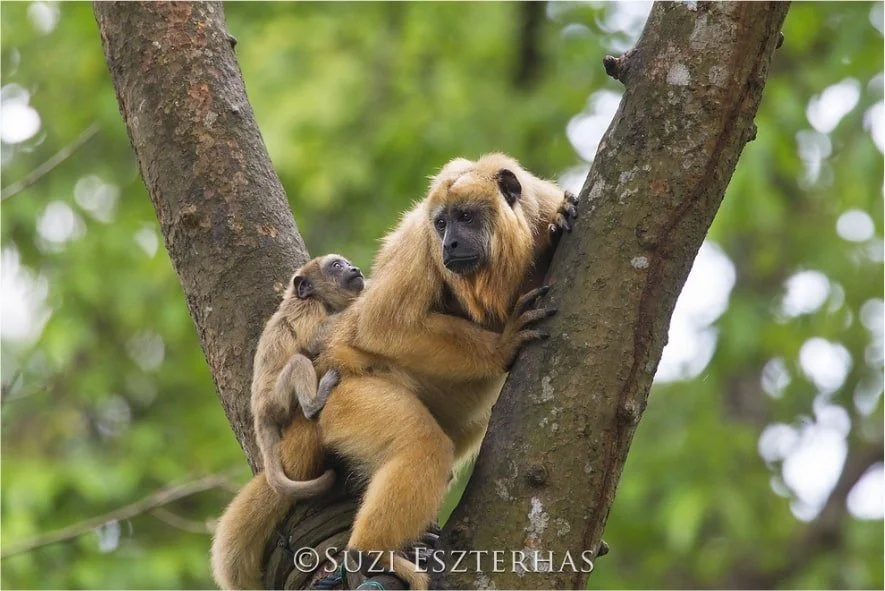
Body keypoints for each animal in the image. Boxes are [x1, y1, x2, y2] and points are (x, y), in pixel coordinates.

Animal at [210, 154, 578, 590]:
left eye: (465, 217)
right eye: (441, 224)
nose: (450, 244)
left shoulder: (536, 204)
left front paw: (558, 223)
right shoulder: (419, 245)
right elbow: (380, 324)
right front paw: (501, 346)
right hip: (343, 397)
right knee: (421, 442)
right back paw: (371, 553)